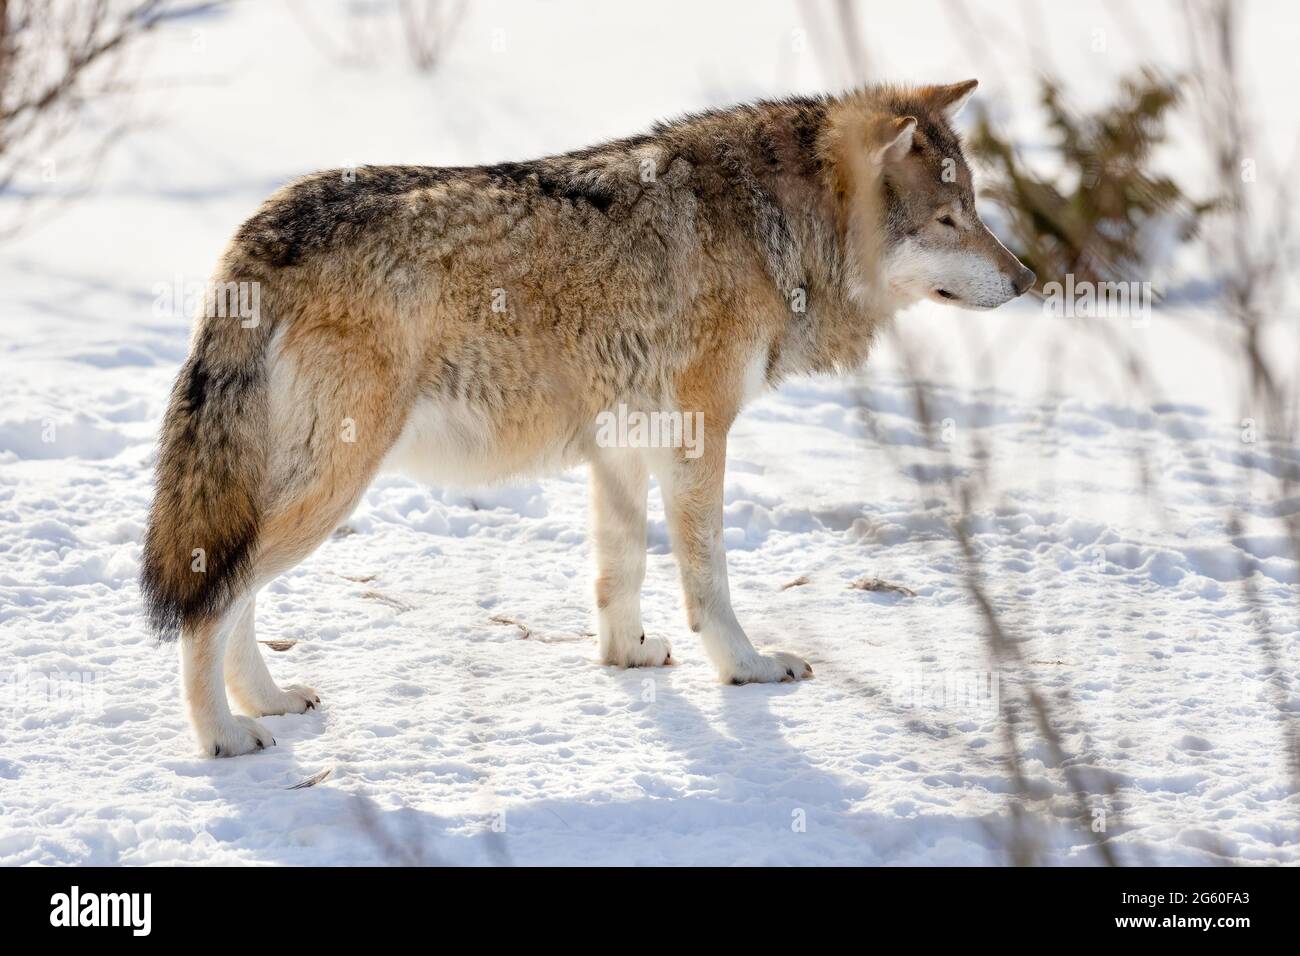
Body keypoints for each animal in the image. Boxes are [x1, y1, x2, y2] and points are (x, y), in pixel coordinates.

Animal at [141, 79, 1034, 756]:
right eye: (950, 220)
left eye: (976, 208)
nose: (1028, 279)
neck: (774, 228)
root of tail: (259, 233)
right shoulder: (697, 436)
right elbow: (708, 580)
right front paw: (745, 668)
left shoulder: (623, 448)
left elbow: (621, 573)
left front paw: (626, 659)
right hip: (333, 484)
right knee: (214, 600)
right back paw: (222, 736)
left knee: (235, 590)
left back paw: (267, 702)